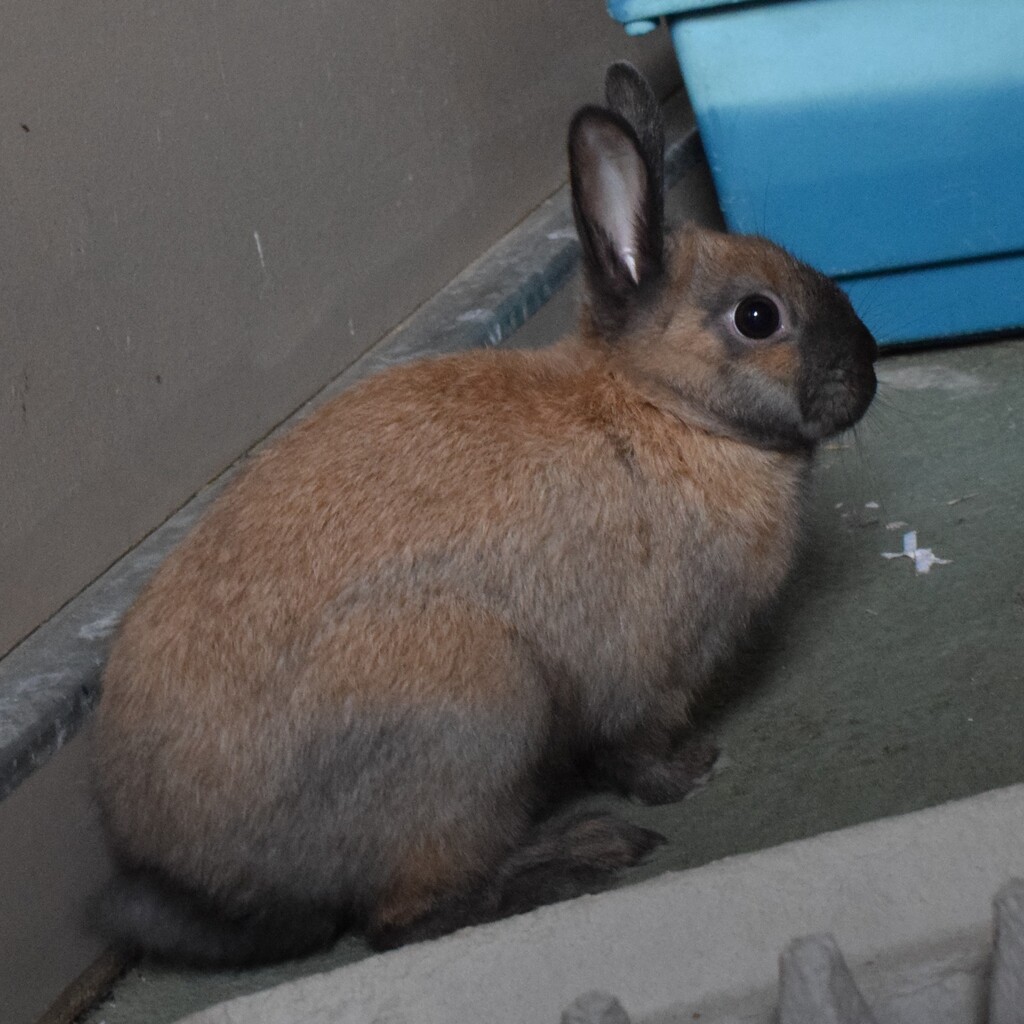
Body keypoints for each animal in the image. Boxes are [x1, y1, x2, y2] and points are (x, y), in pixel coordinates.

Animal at [92, 61, 877, 967]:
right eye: (758, 317)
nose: (869, 368)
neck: (660, 409)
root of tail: (209, 875)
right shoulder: (646, 669)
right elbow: (635, 751)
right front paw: (691, 775)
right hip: (477, 705)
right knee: (401, 920)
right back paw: (582, 854)